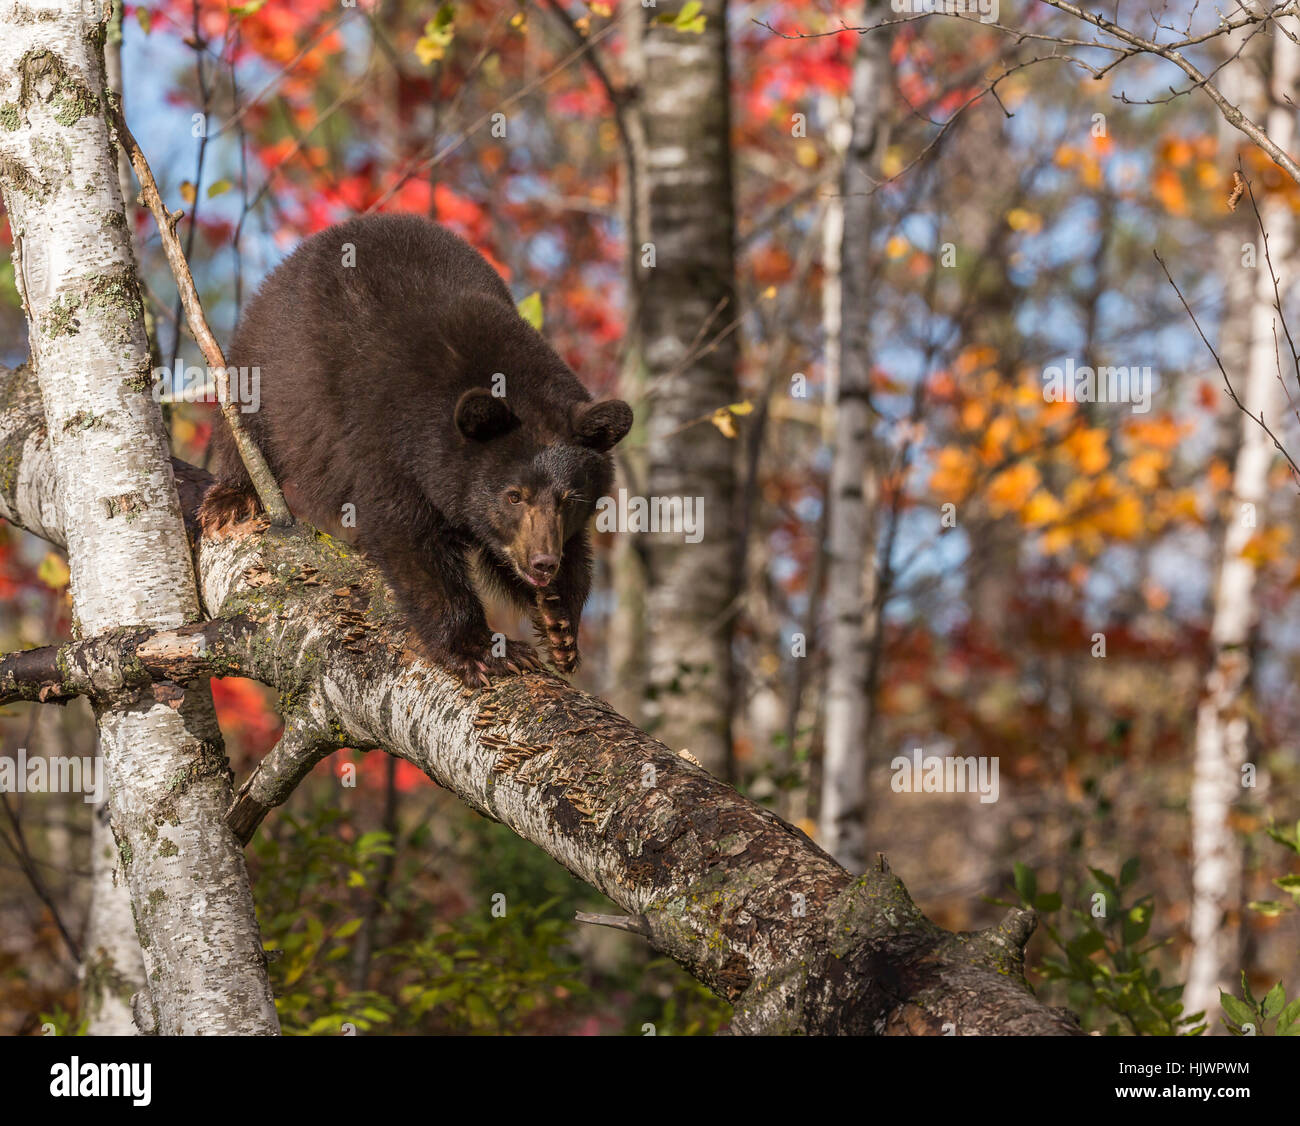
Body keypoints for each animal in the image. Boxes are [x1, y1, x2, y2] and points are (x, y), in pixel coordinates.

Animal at [197, 213, 633, 687]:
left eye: (570, 499)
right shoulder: (387, 441)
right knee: (245, 420)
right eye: (514, 496)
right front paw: (483, 651)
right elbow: (409, 540)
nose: (542, 564)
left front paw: (560, 622)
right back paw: (232, 497)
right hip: (275, 367)